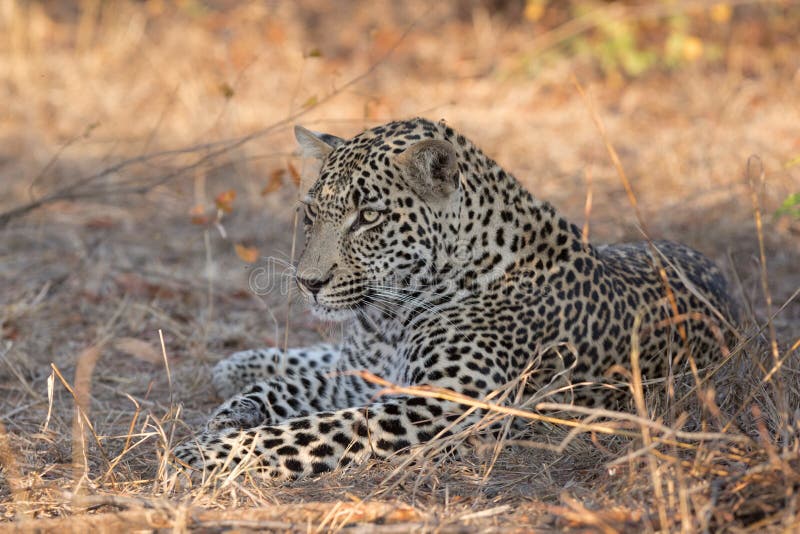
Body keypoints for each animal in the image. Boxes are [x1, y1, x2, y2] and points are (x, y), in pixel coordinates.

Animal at [173, 118, 738, 480]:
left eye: (369, 217)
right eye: (311, 212)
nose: (308, 282)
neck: (391, 316)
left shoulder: (443, 404)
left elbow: (309, 428)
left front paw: (205, 453)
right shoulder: (369, 378)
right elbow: (297, 388)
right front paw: (230, 415)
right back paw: (238, 365)